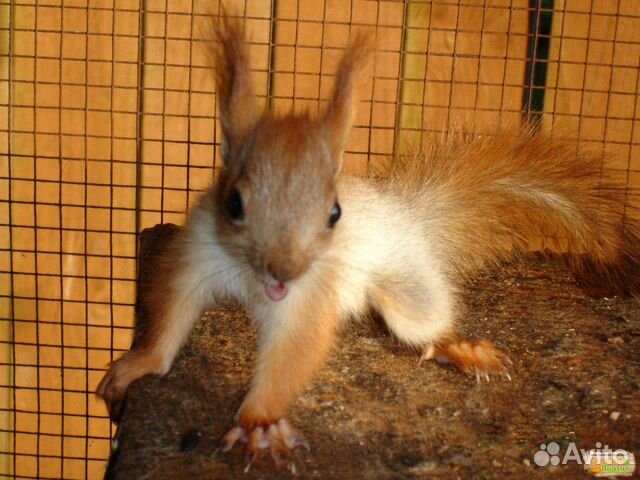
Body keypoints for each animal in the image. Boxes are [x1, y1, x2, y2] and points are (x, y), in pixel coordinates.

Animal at [97, 13, 640, 469]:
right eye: (234, 204)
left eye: (333, 214)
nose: (284, 273)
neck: (253, 277)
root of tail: (408, 213)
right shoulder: (197, 253)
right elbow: (171, 314)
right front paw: (138, 366)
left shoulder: (312, 294)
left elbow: (293, 350)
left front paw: (260, 423)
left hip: (407, 287)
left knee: (425, 323)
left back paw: (458, 348)